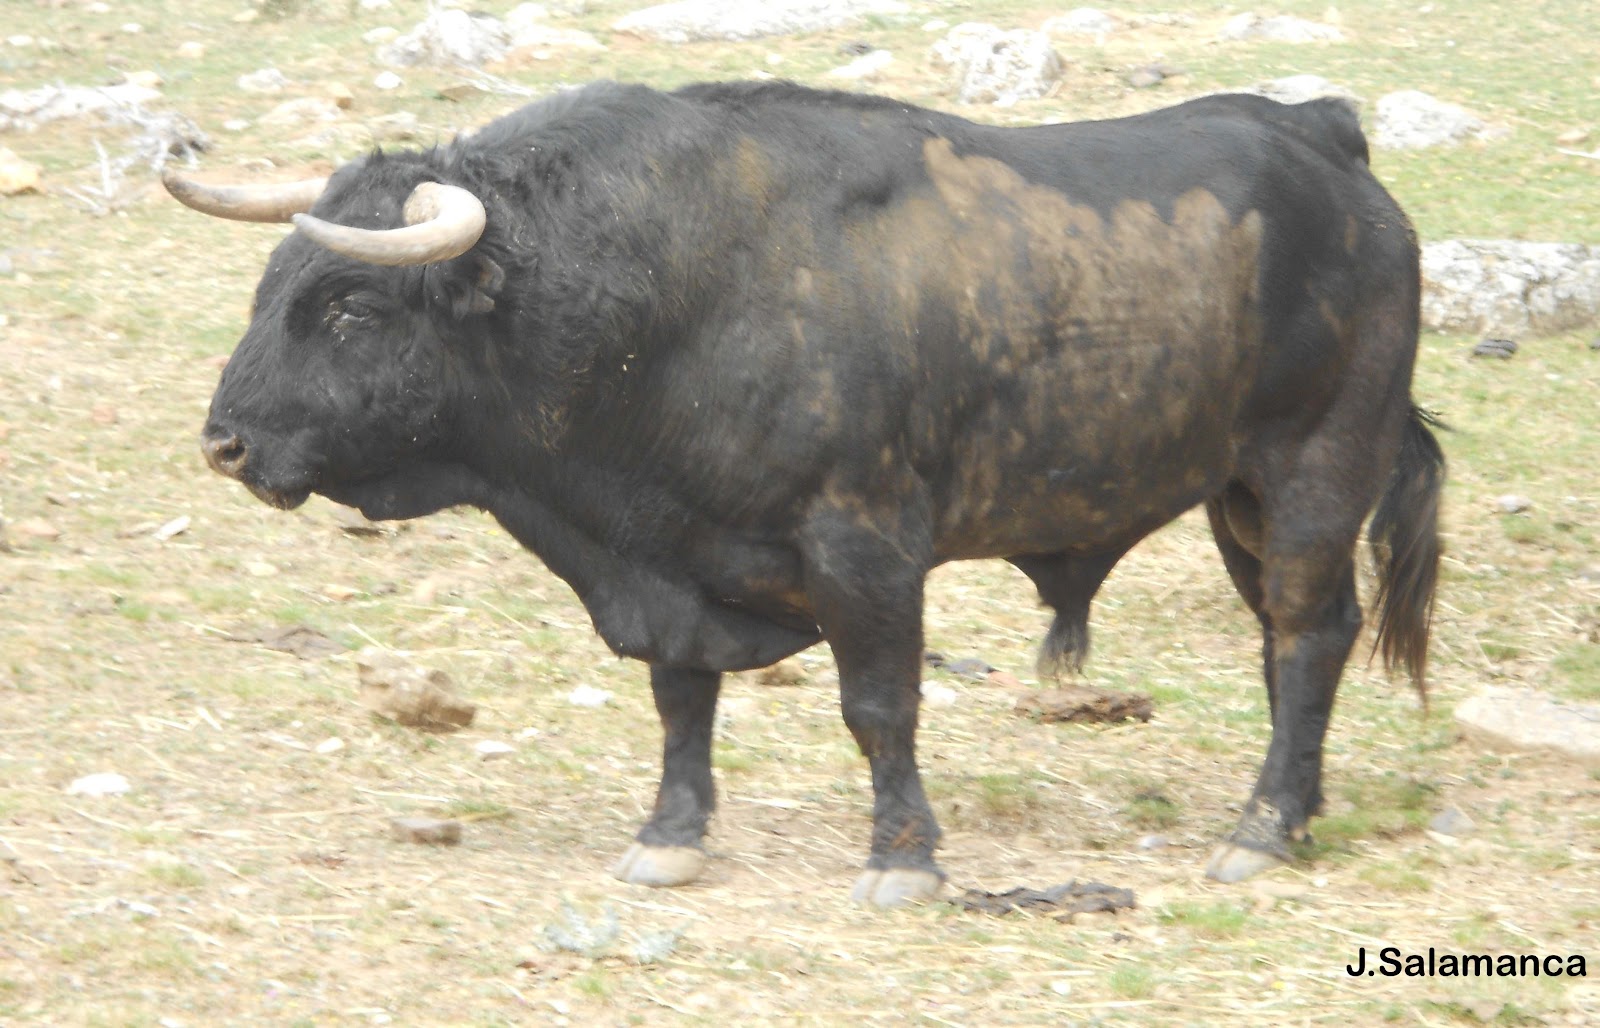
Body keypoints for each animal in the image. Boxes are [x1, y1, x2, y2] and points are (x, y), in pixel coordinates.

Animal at [164, 80, 1444, 908]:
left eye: (349, 306)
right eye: (274, 281)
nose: (225, 441)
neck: (667, 291)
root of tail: (1320, 138)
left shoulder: (864, 549)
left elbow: (879, 706)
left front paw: (902, 857)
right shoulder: (667, 560)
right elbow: (679, 700)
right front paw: (669, 836)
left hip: (1317, 470)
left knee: (1305, 634)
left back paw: (1260, 828)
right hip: (1239, 496)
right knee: (1296, 638)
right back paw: (1293, 813)